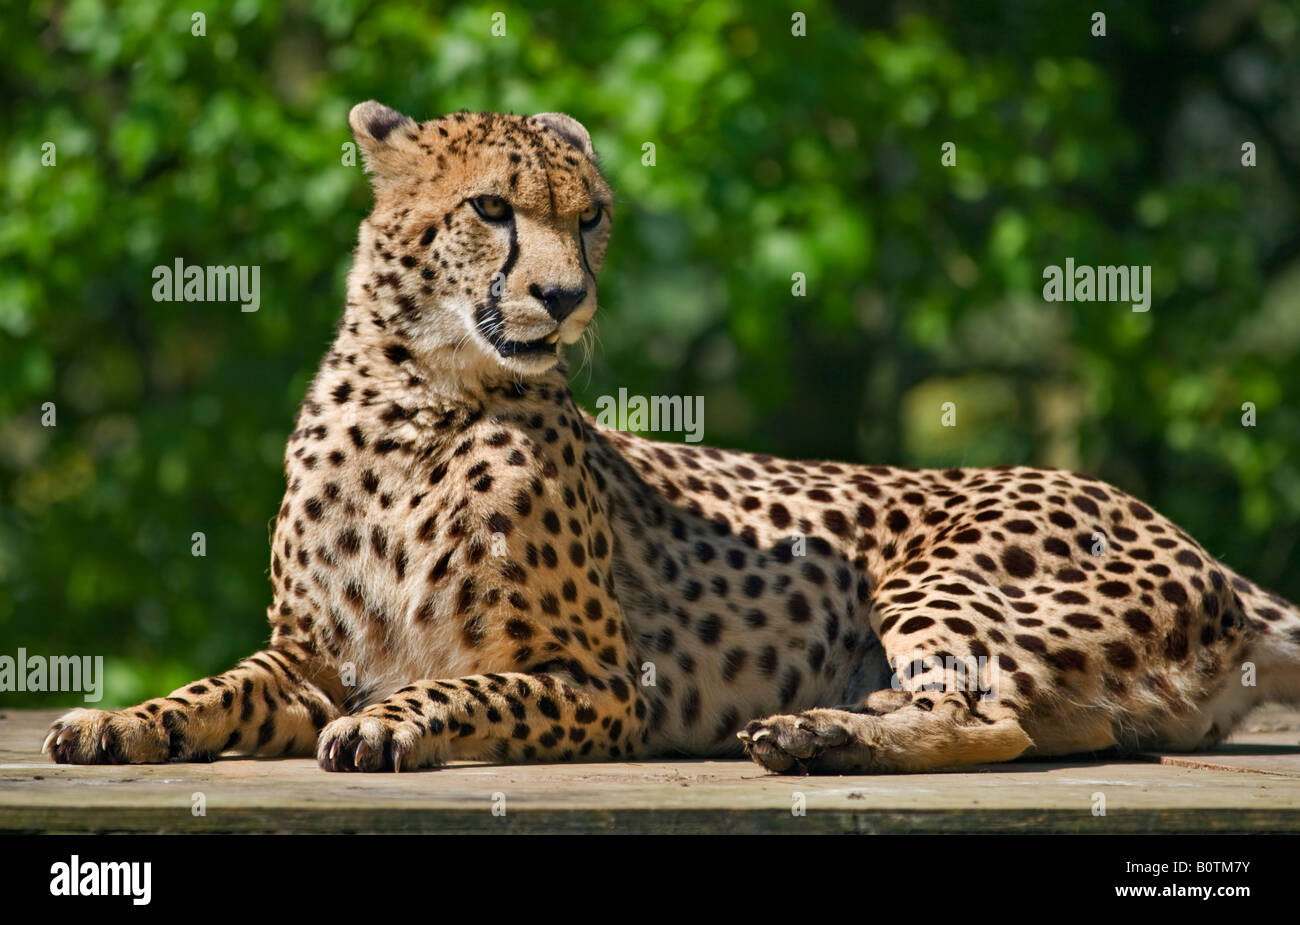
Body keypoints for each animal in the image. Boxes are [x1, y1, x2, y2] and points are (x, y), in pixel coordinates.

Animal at [44, 102, 1300, 775]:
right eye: (490, 209)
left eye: (589, 216)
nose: (562, 299)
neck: (418, 399)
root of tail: (1199, 551)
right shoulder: (303, 659)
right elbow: (209, 690)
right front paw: (116, 719)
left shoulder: (602, 681)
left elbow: (460, 691)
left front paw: (391, 723)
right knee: (1035, 724)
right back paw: (838, 724)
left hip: (936, 570)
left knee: (991, 718)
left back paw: (819, 735)